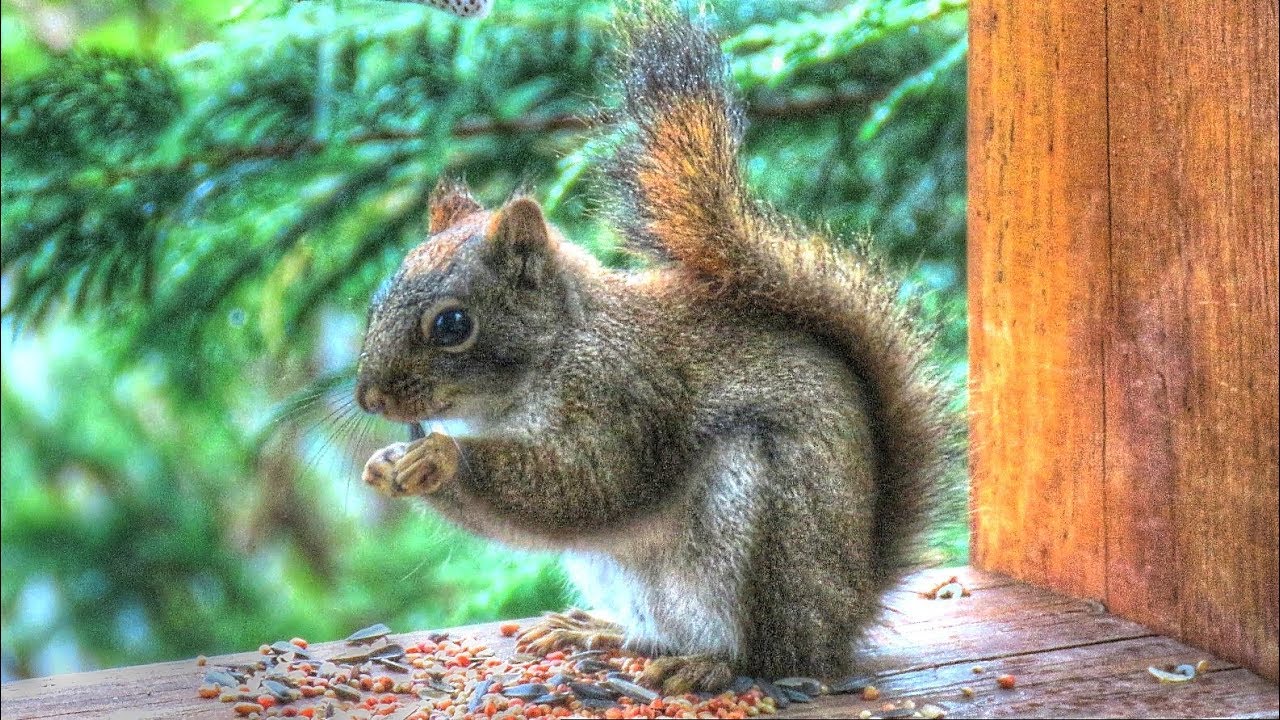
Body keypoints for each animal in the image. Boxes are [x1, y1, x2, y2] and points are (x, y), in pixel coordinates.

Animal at [355, 3, 953, 692]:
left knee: (764, 657)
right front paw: (385, 462)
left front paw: (439, 458)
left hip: (759, 535)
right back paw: (593, 630)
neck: (561, 347)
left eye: (453, 324)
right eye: (375, 303)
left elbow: (588, 485)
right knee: (655, 631)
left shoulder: (624, 400)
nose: (369, 399)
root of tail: (847, 616)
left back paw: (707, 664)